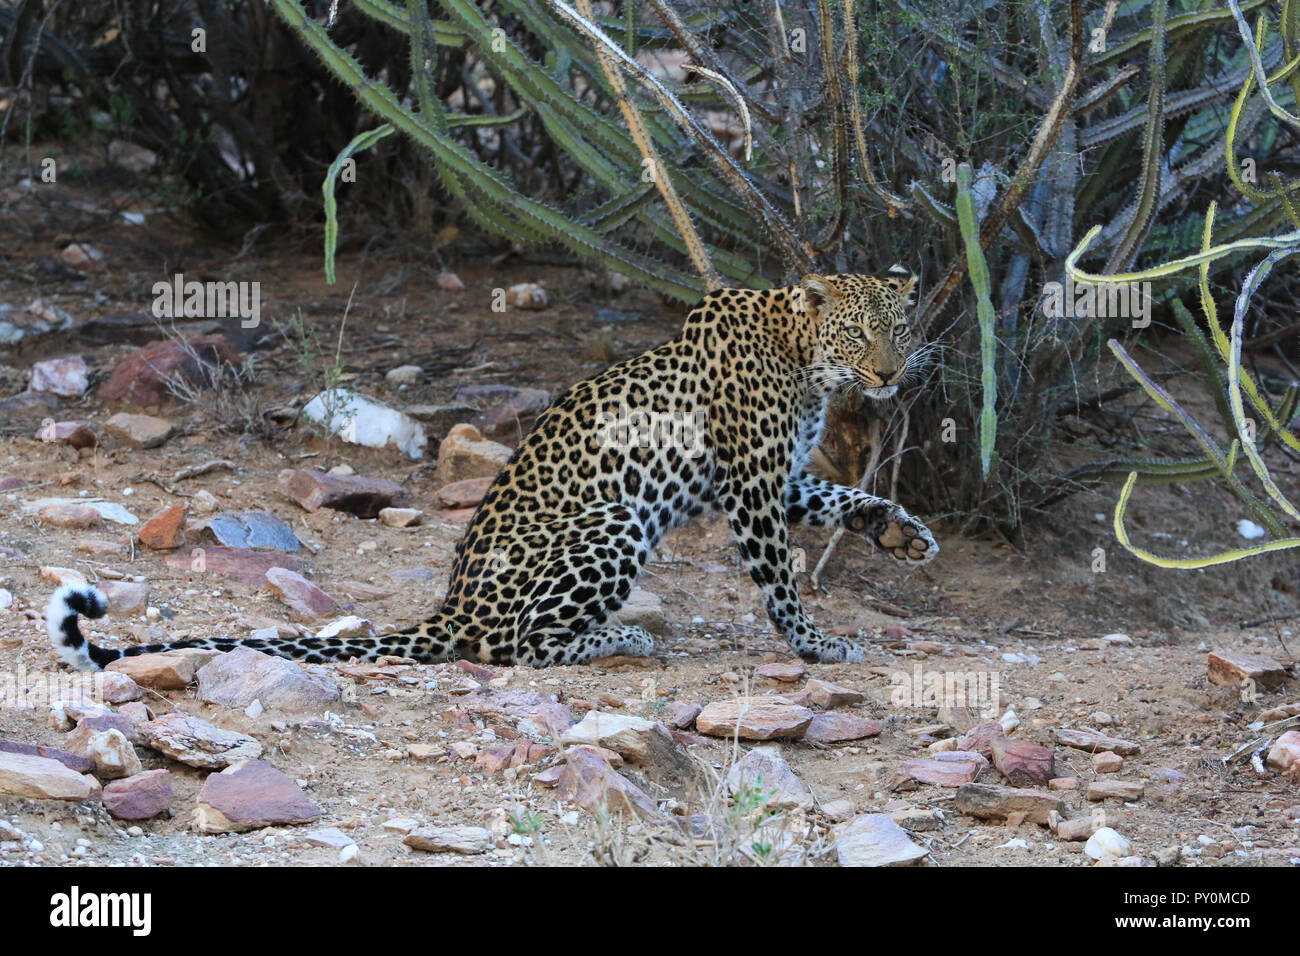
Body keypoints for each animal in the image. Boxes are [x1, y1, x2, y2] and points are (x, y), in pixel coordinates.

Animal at [49, 269, 937, 672]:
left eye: (898, 329)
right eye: (857, 335)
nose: (889, 374)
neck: (804, 358)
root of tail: (451, 607)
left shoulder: (775, 476)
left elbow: (842, 495)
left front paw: (899, 531)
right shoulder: (750, 485)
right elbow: (781, 578)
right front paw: (818, 644)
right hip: (612, 523)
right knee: (514, 646)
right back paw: (618, 638)